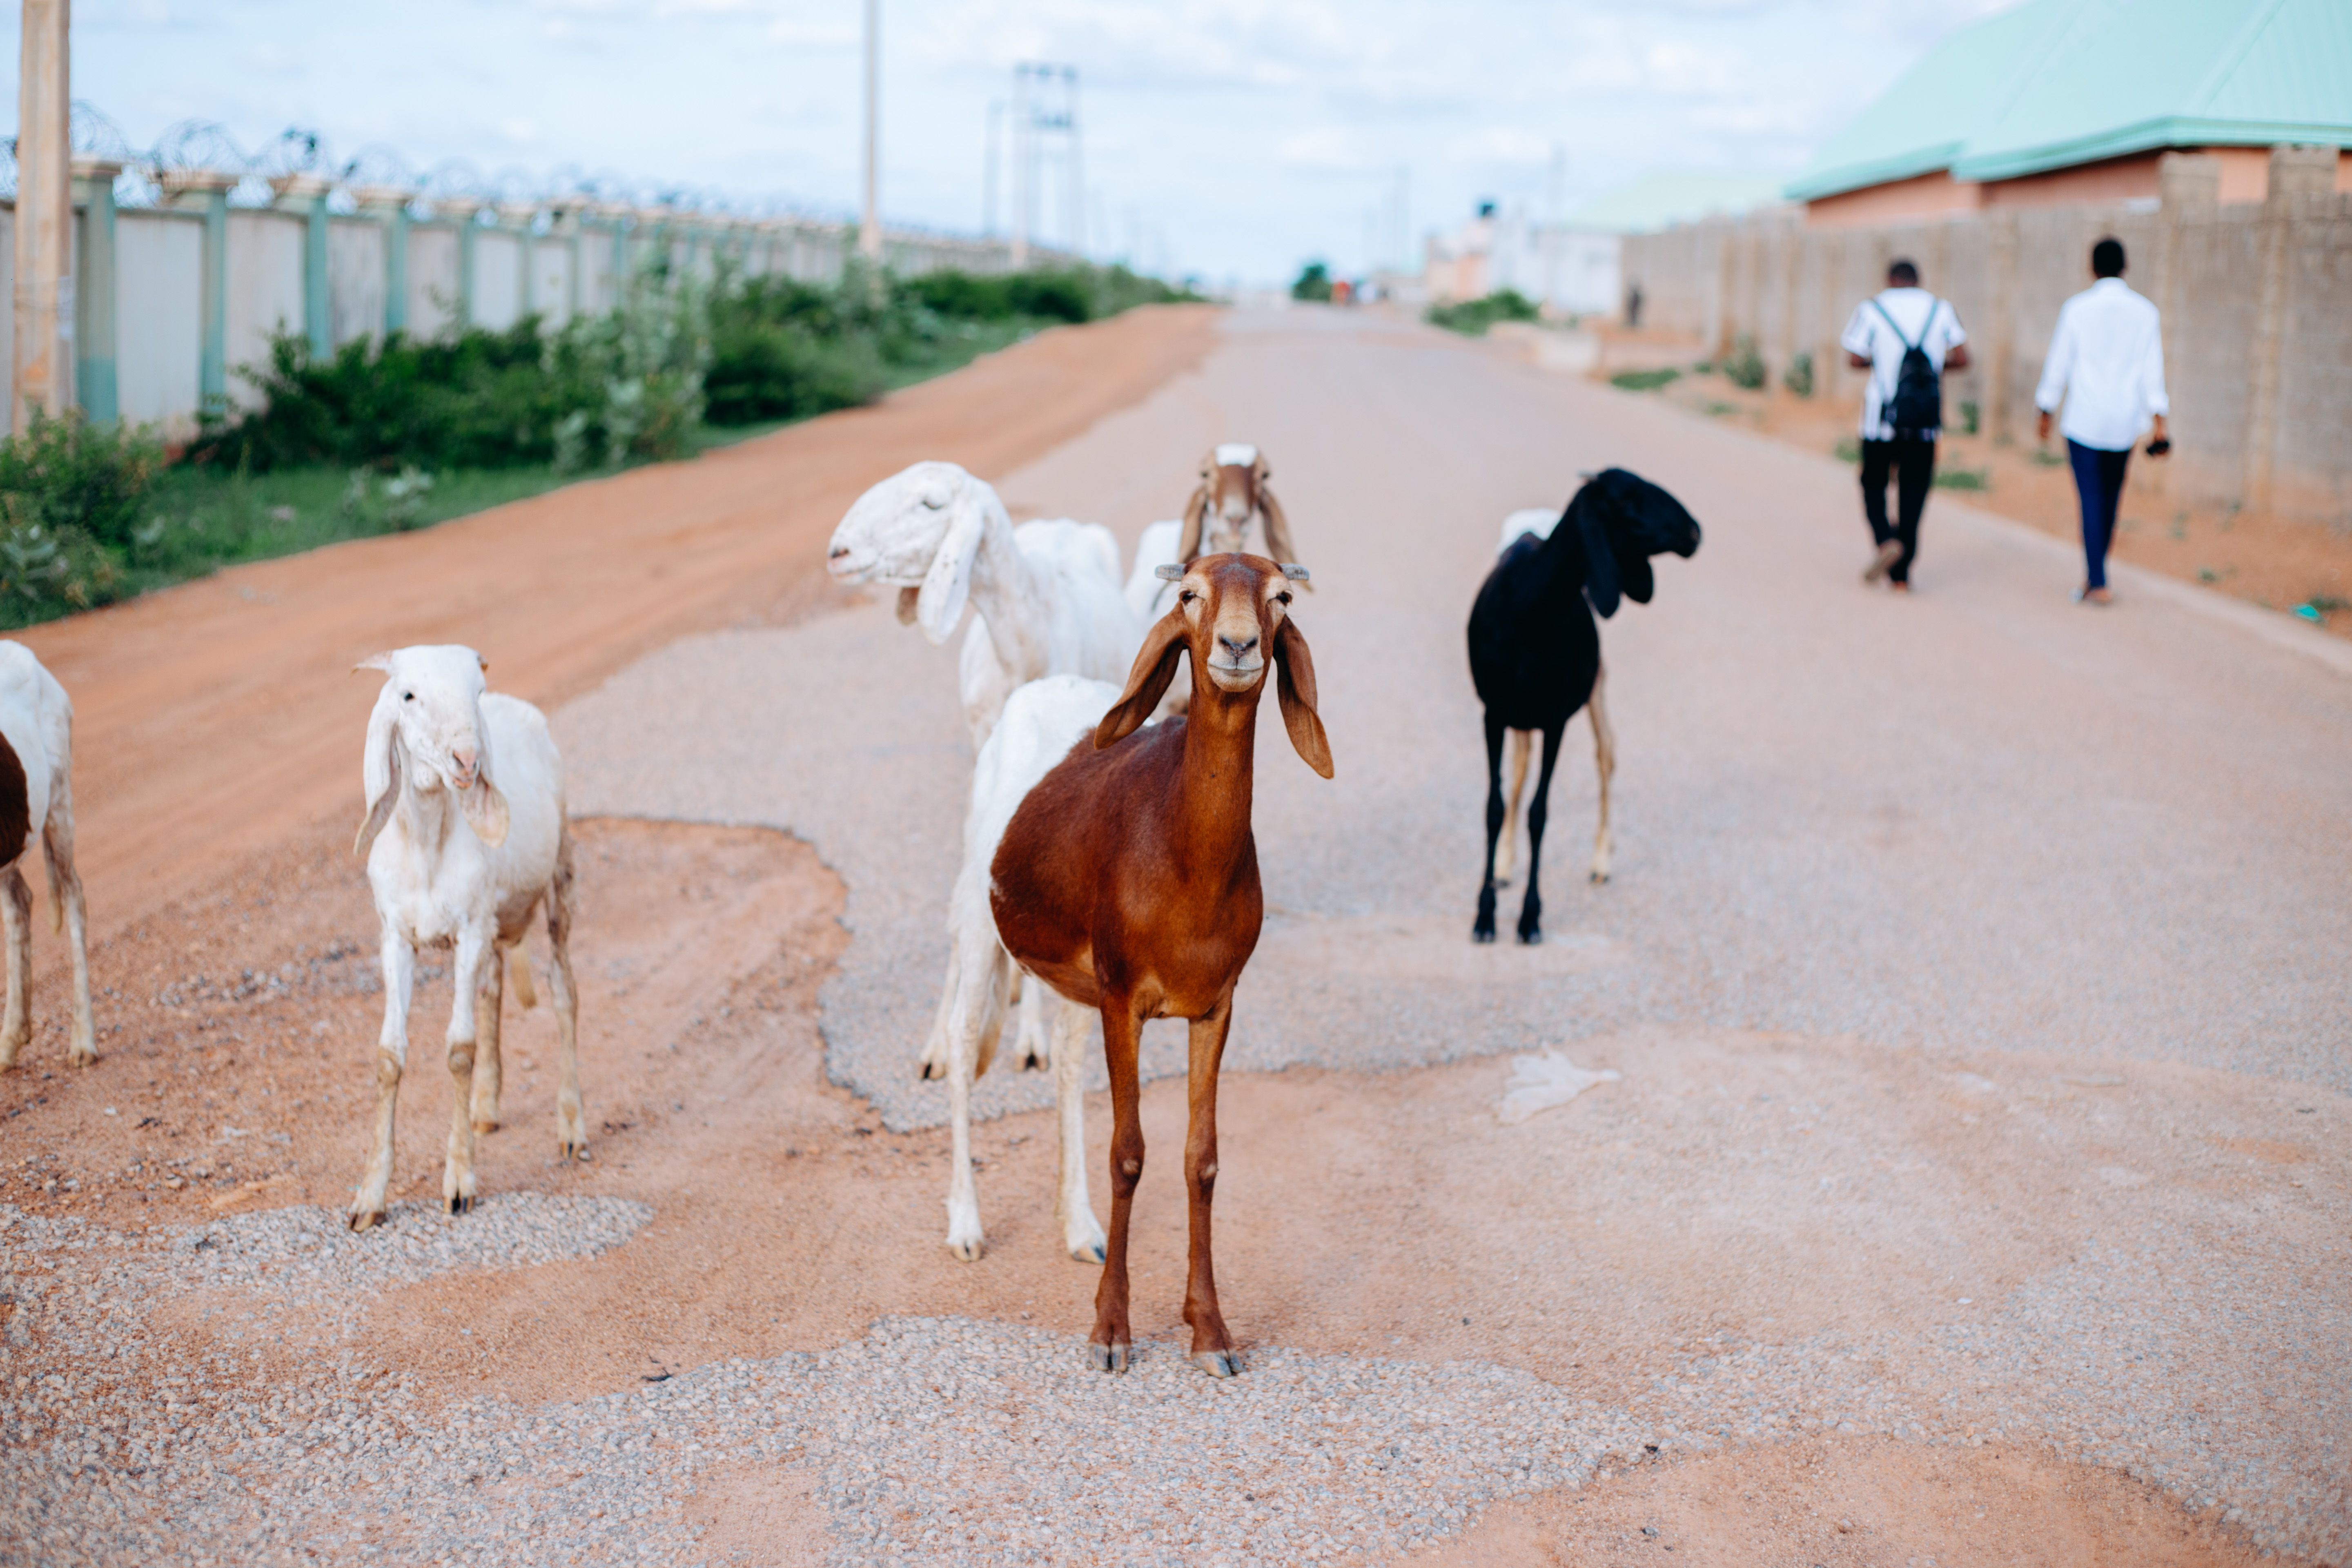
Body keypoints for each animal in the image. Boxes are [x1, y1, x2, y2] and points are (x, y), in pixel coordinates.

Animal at [348, 645, 582, 1230]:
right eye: (408, 695)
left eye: (475, 690)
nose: (467, 760)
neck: (428, 846)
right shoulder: (395, 937)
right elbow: (389, 1055)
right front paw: (370, 1196)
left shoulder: (471, 929)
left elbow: (459, 1049)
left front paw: (458, 1182)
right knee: (495, 988)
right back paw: (487, 1107)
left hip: (560, 877)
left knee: (564, 991)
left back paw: (571, 1126)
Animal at [992, 553, 1331, 1378]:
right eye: (1190, 593)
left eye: (1281, 595)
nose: (1239, 646)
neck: (1183, 863)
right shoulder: (1124, 1000)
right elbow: (1128, 1154)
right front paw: (1111, 1330)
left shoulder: (1216, 1005)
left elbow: (1200, 1159)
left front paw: (1209, 1330)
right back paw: (965, 1227)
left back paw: (1074, 1228)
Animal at [1468, 469, 1701, 943]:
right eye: (1626, 501)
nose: (1694, 532)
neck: (1529, 607)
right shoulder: (1494, 712)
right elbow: (1494, 808)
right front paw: (1484, 915)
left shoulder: (1556, 717)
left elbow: (1540, 813)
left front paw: (1530, 919)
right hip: (1521, 714)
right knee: (1520, 766)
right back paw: (1504, 865)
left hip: (1593, 686)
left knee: (1607, 752)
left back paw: (1601, 861)